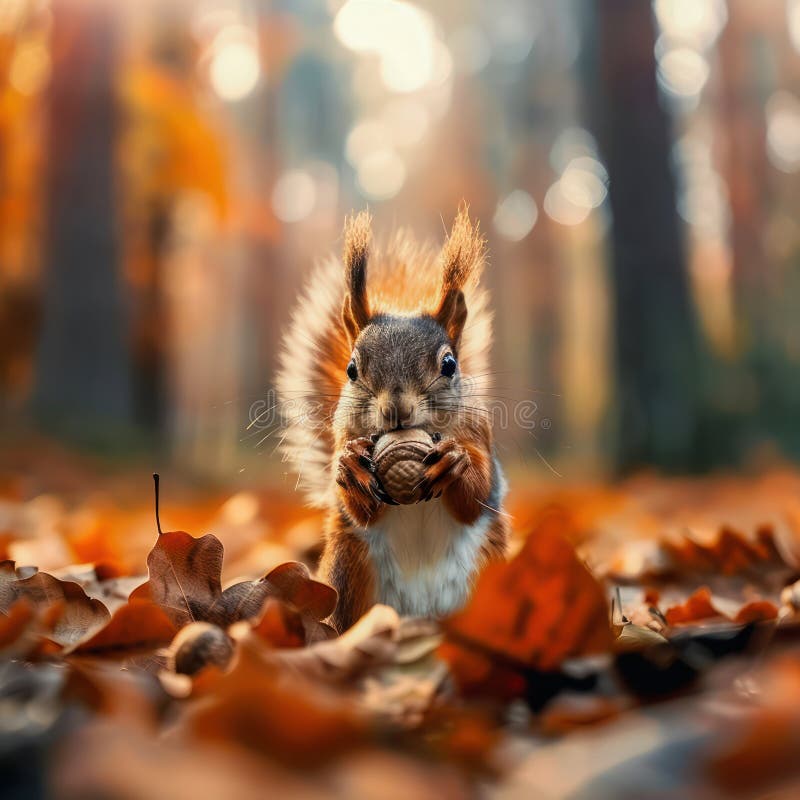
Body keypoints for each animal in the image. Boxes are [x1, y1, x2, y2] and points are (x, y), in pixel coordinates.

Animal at [276, 205, 509, 632]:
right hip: (348, 570)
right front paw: (350, 466)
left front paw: (455, 462)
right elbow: (361, 509)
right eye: (351, 370)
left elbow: (476, 494)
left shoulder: (477, 432)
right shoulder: (345, 434)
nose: (395, 410)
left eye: (449, 365)